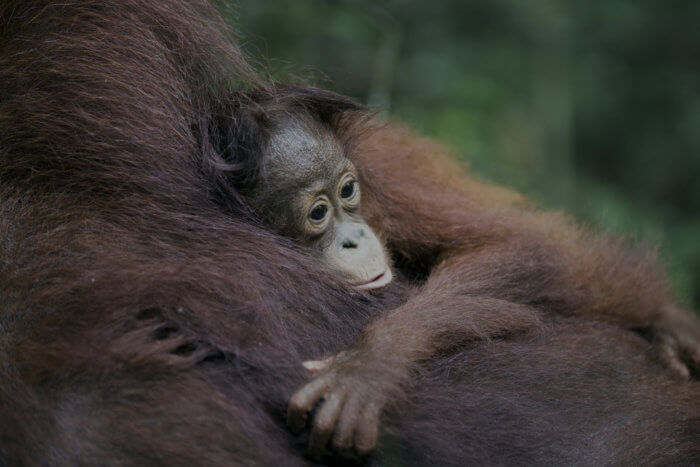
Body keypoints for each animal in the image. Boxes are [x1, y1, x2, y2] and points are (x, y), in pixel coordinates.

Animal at [212, 87, 700, 459]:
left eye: (348, 190)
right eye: (317, 213)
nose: (354, 238)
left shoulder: (385, 186)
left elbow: (513, 245)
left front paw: (369, 364)